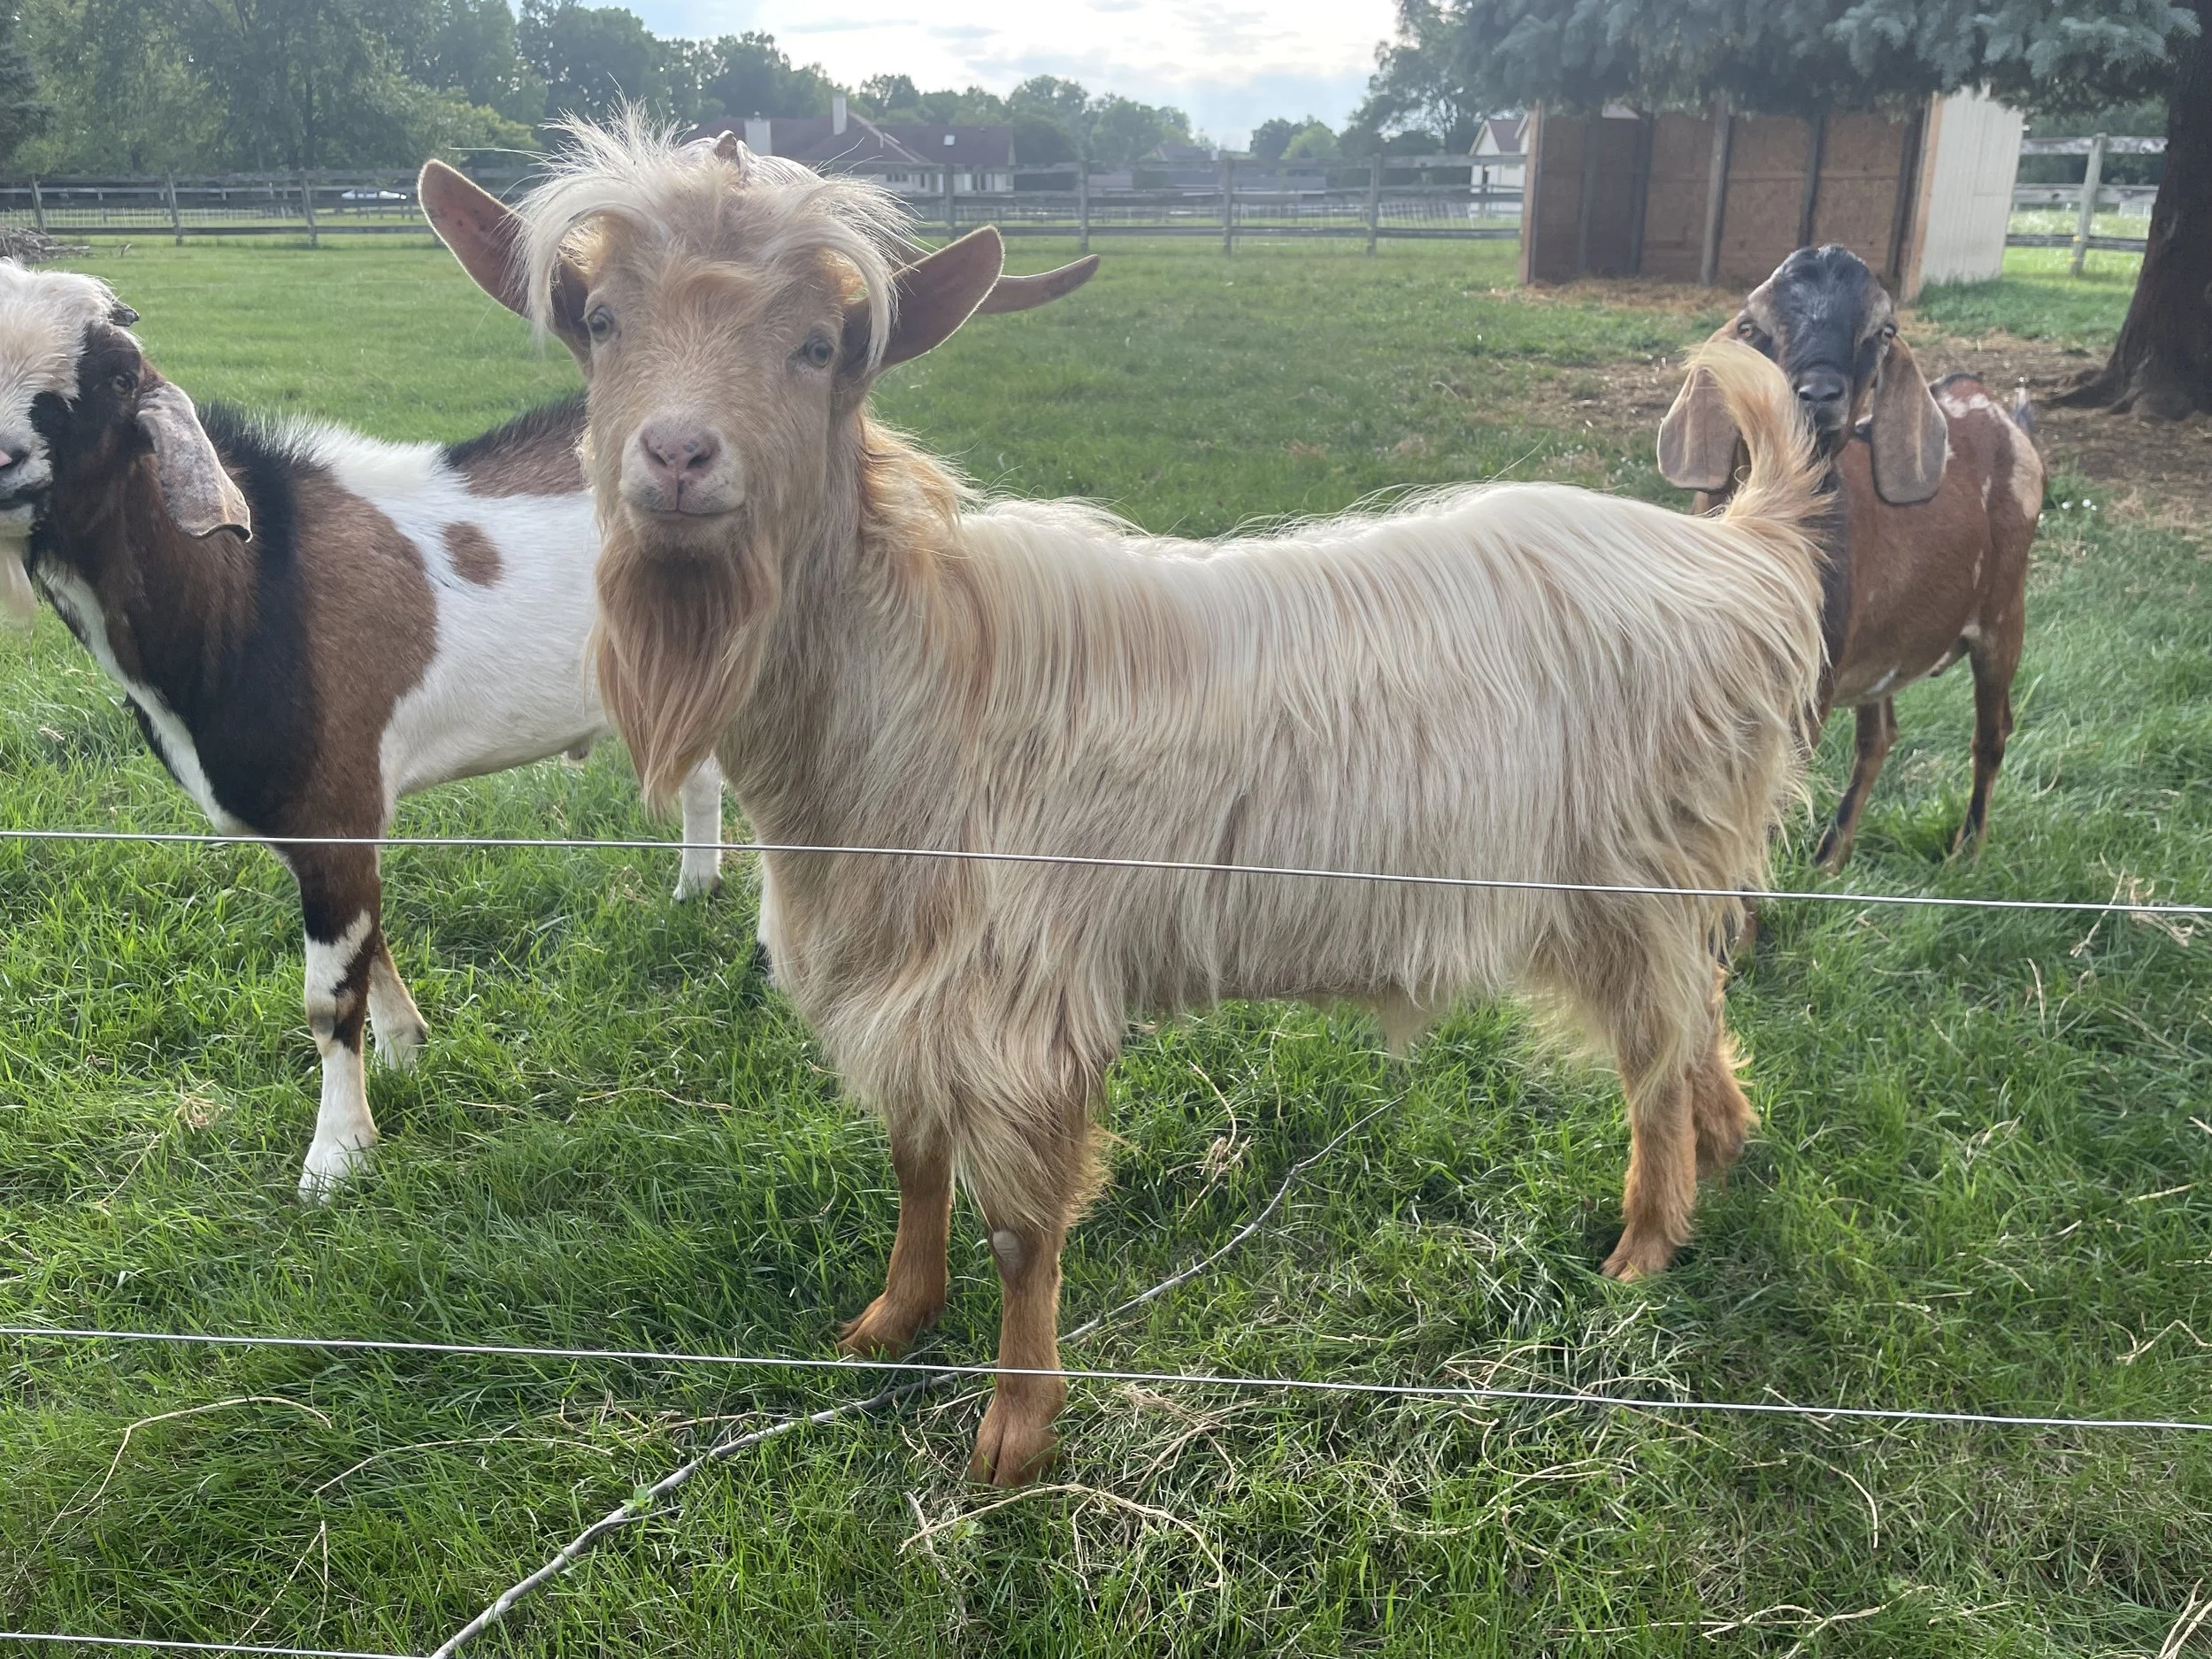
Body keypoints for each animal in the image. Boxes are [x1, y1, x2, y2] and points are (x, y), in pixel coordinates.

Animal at [0, 259, 729, 1200]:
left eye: (120, 378)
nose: (5, 459)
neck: (249, 586)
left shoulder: (333, 806)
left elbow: (328, 995)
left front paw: (336, 1157)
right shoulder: (313, 822)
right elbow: (371, 943)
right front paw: (406, 1051)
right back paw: (696, 889)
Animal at [442, 120, 1831, 1486]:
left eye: (820, 346)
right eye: (601, 320)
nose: (677, 456)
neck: (915, 674)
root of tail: (1737, 552)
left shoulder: (1018, 1000)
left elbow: (1018, 1228)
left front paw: (1012, 1436)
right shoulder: (901, 978)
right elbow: (912, 1159)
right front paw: (889, 1320)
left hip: (1631, 872)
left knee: (1652, 1044)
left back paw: (1644, 1243)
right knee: (1698, 1009)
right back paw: (1729, 1143)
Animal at [1659, 244, 2044, 871]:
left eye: (1883, 332)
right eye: (1751, 326)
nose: (1818, 393)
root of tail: (2001, 415)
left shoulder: (1806, 693)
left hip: (2004, 614)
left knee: (1993, 732)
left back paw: (1966, 851)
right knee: (1879, 735)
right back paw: (1830, 858)